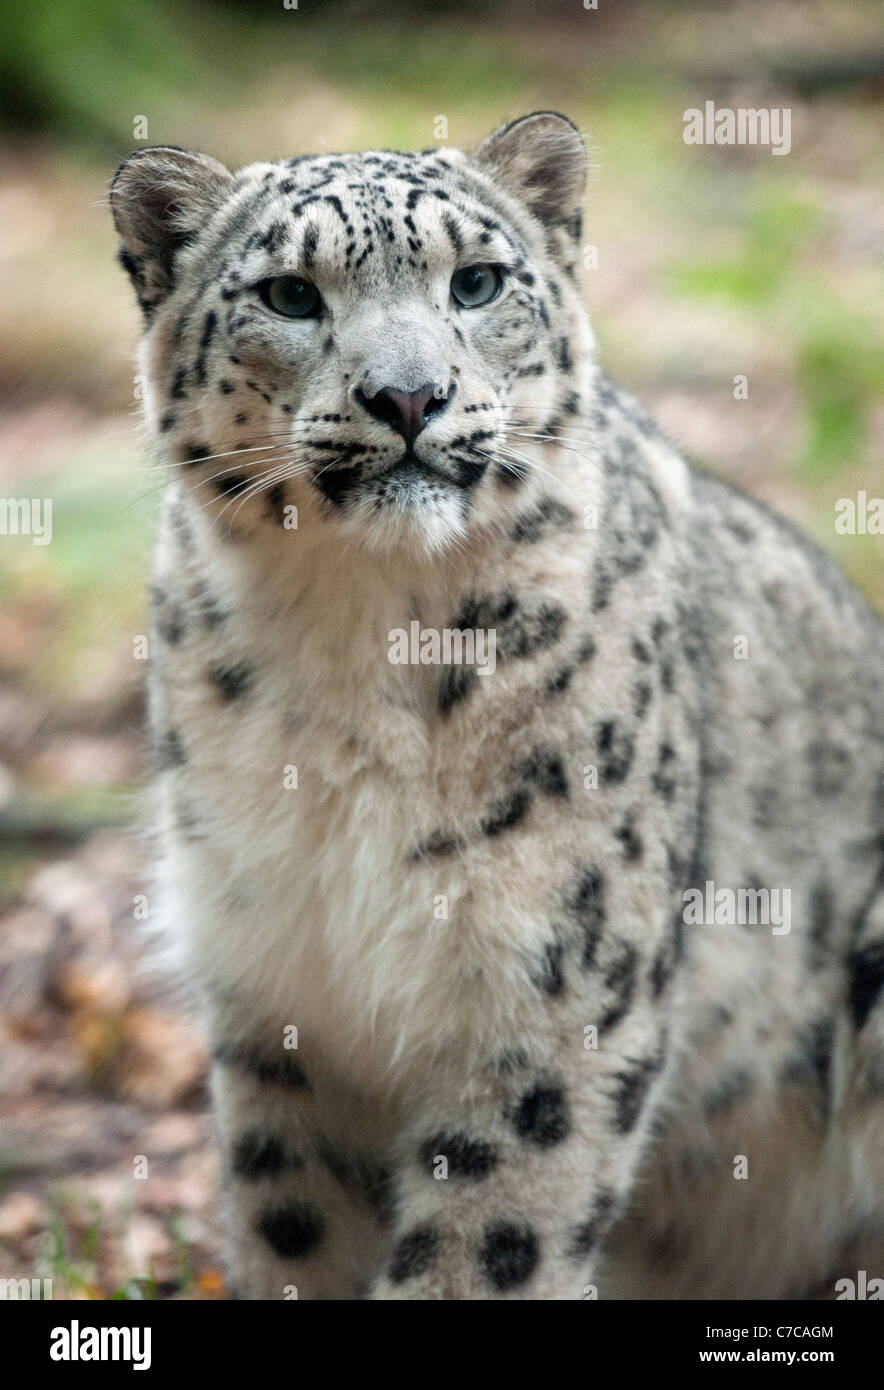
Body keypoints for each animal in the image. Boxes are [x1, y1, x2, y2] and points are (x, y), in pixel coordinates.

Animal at [109, 111, 884, 1300]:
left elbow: (485, 1240)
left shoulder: (552, 988)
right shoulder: (278, 1000)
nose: (408, 398)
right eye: (290, 294)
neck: (355, 633)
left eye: (474, 282)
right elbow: (295, 1233)